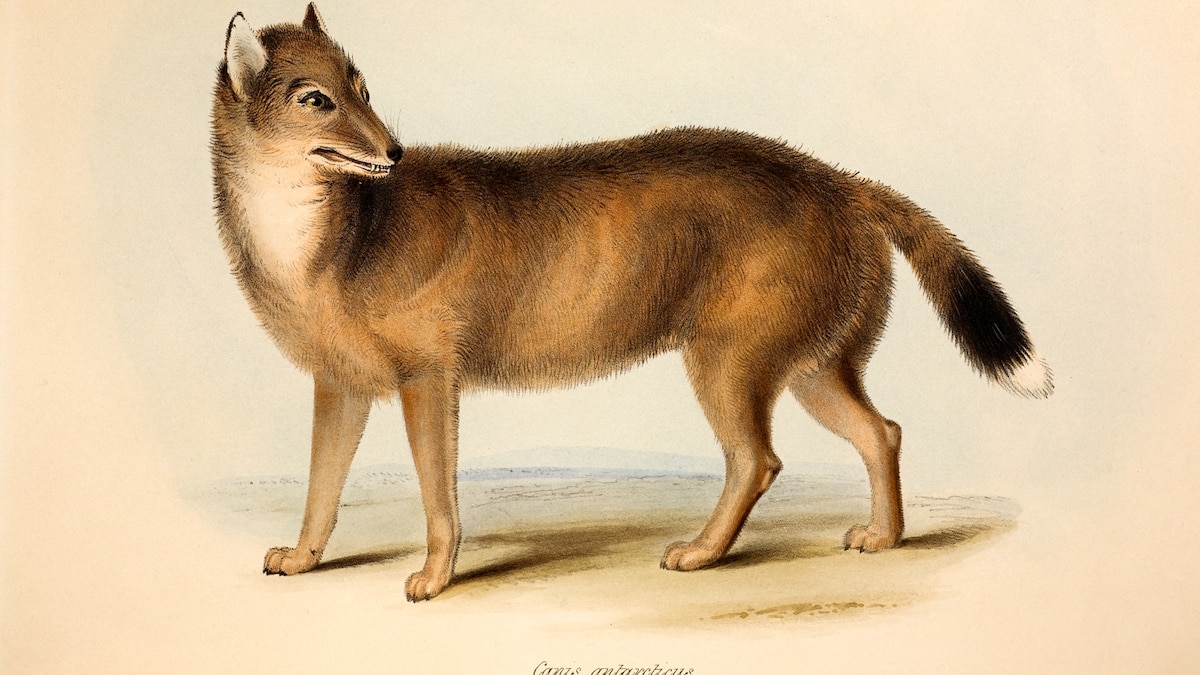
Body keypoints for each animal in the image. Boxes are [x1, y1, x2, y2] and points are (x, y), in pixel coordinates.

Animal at [211, 4, 1051, 601]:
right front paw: (303, 558)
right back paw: (884, 536)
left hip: (729, 363)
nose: (393, 151)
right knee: (884, 432)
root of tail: (841, 179)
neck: (326, 242)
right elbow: (321, 487)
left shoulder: (428, 380)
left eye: (364, 89)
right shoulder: (340, 386)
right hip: (811, 368)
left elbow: (437, 496)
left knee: (759, 460)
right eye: (316, 98)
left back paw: (702, 552)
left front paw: (435, 577)